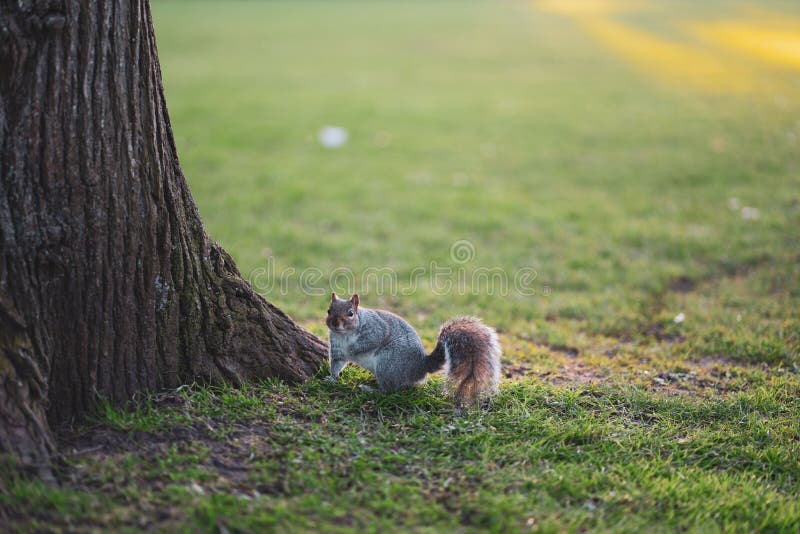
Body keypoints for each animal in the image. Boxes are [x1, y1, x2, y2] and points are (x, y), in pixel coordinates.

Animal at [325, 293, 502, 404]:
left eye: (350, 313)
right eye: (328, 310)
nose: (334, 323)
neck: (345, 334)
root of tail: (421, 365)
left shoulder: (376, 329)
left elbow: (370, 341)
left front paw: (354, 349)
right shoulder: (337, 349)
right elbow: (336, 364)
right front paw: (331, 379)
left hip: (388, 362)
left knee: (388, 390)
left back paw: (369, 389)